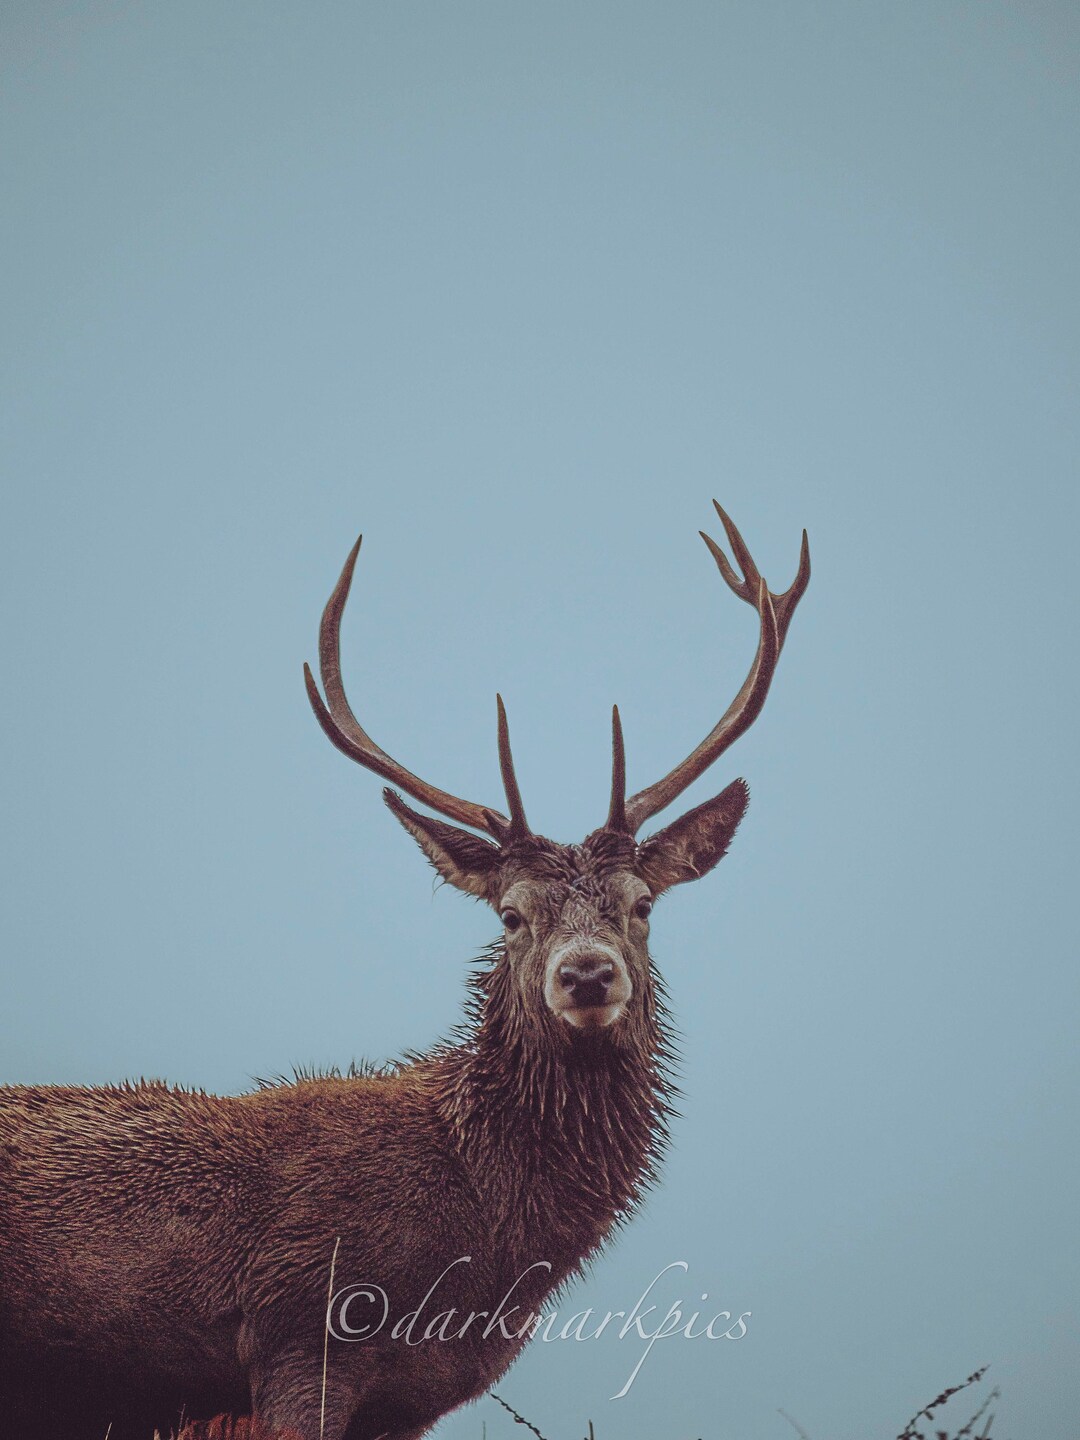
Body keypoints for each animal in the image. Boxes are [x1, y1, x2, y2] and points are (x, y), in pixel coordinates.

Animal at [0, 502, 809, 1440]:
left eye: (642, 905)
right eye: (510, 915)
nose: (586, 976)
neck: (481, 1244)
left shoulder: (412, 1401)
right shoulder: (301, 1332)